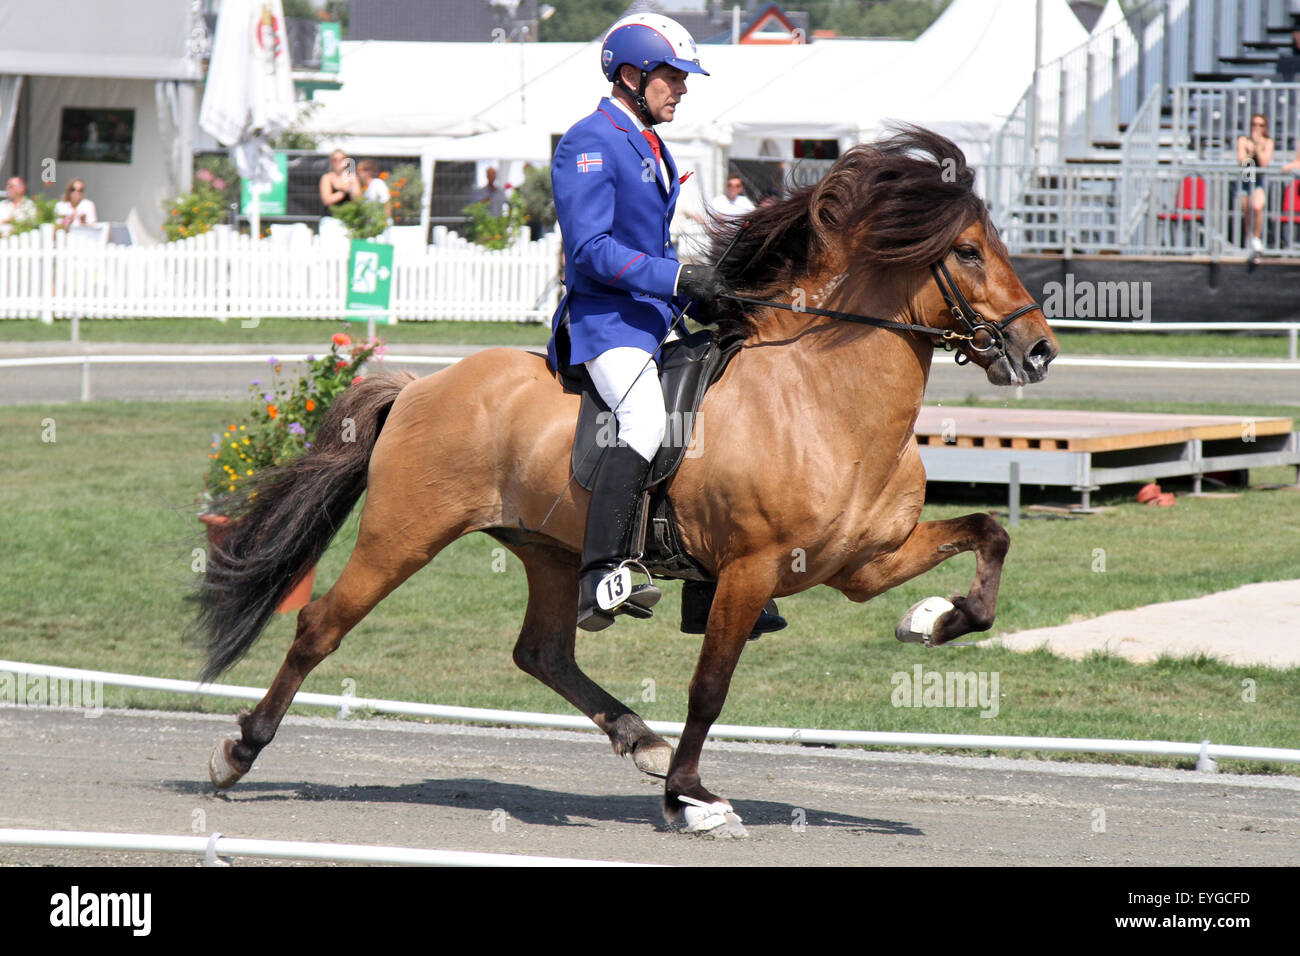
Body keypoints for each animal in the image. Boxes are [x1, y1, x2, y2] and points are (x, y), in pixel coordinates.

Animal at [193, 127, 1058, 838]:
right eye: (970, 253)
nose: (1040, 351)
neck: (821, 396)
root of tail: (418, 386)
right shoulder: (749, 570)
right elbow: (710, 687)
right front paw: (692, 797)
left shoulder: (862, 564)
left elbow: (989, 535)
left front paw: (934, 619)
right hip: (403, 533)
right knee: (320, 626)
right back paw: (237, 754)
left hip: (544, 547)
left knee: (542, 653)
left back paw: (637, 738)